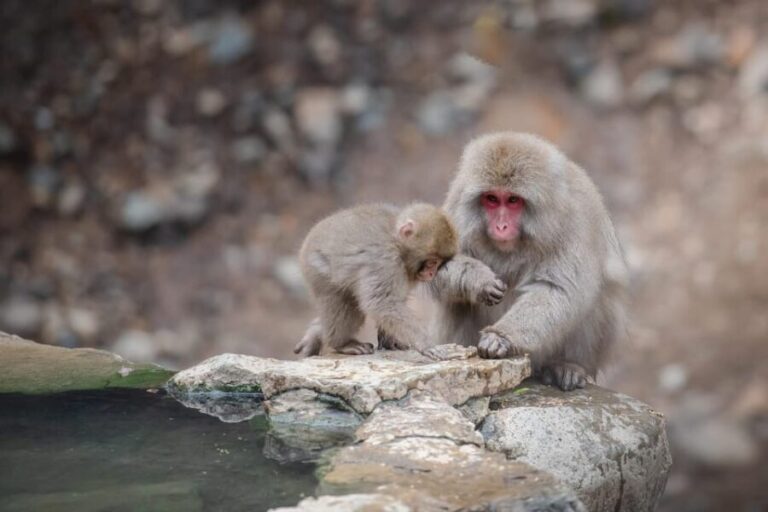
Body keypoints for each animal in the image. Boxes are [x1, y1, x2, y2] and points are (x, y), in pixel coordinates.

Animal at [294, 203, 459, 357]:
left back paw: (316, 332)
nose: (431, 274)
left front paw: (390, 340)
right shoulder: (384, 260)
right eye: (432, 262)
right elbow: (382, 303)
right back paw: (342, 344)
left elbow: (393, 303)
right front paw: (426, 344)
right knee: (345, 306)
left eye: (439, 264)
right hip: (317, 270)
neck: (397, 243)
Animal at [428, 132, 628, 391]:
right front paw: (479, 280)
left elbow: (558, 289)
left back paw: (567, 365)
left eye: (513, 200)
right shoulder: (457, 204)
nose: (501, 226)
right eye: (492, 199)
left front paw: (500, 337)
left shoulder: (573, 222)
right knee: (456, 301)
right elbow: (433, 268)